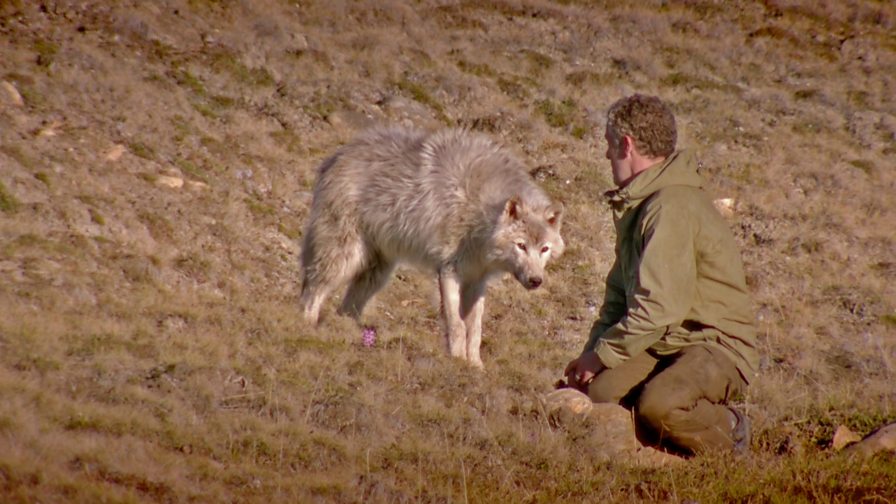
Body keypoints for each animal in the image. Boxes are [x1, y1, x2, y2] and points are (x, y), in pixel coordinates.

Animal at [299, 126, 564, 368]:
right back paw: (307, 325)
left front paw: (475, 366)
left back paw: (353, 335)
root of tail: (340, 153)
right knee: (313, 287)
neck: (479, 214)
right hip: (344, 256)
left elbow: (475, 330)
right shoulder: (448, 270)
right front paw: (456, 360)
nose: (536, 280)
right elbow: (457, 324)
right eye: (521, 246)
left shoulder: (477, 280)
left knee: (346, 307)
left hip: (377, 273)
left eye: (544, 249)